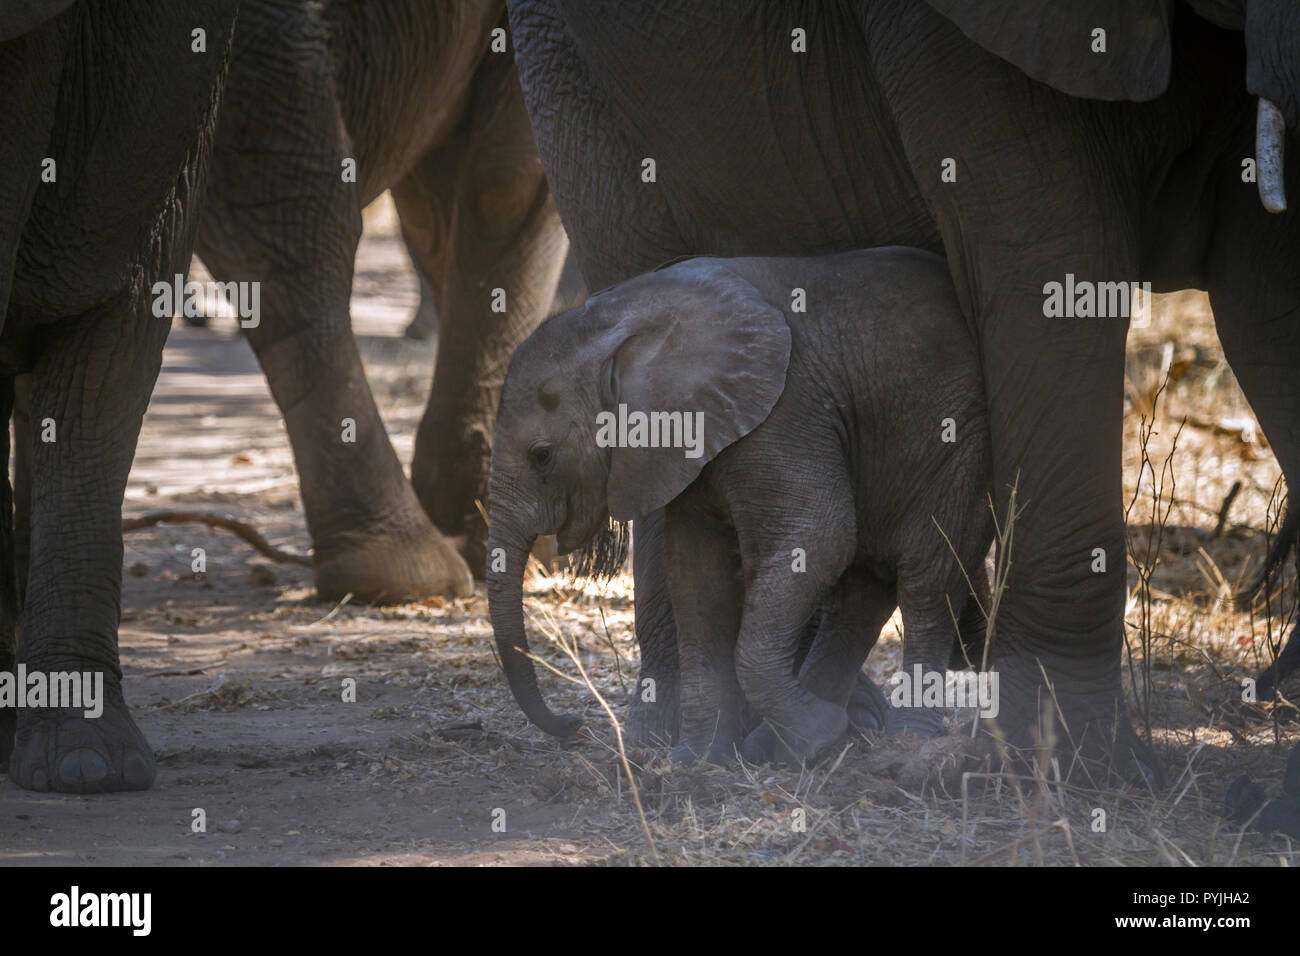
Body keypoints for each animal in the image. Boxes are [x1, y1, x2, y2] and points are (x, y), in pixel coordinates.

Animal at [486, 247, 994, 765]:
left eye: (542, 455)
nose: (573, 725)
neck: (622, 320)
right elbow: (695, 570)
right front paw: (696, 760)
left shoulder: (785, 413)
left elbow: (819, 535)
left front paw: (817, 737)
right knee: (862, 595)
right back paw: (787, 746)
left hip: (962, 443)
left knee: (928, 581)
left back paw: (900, 742)